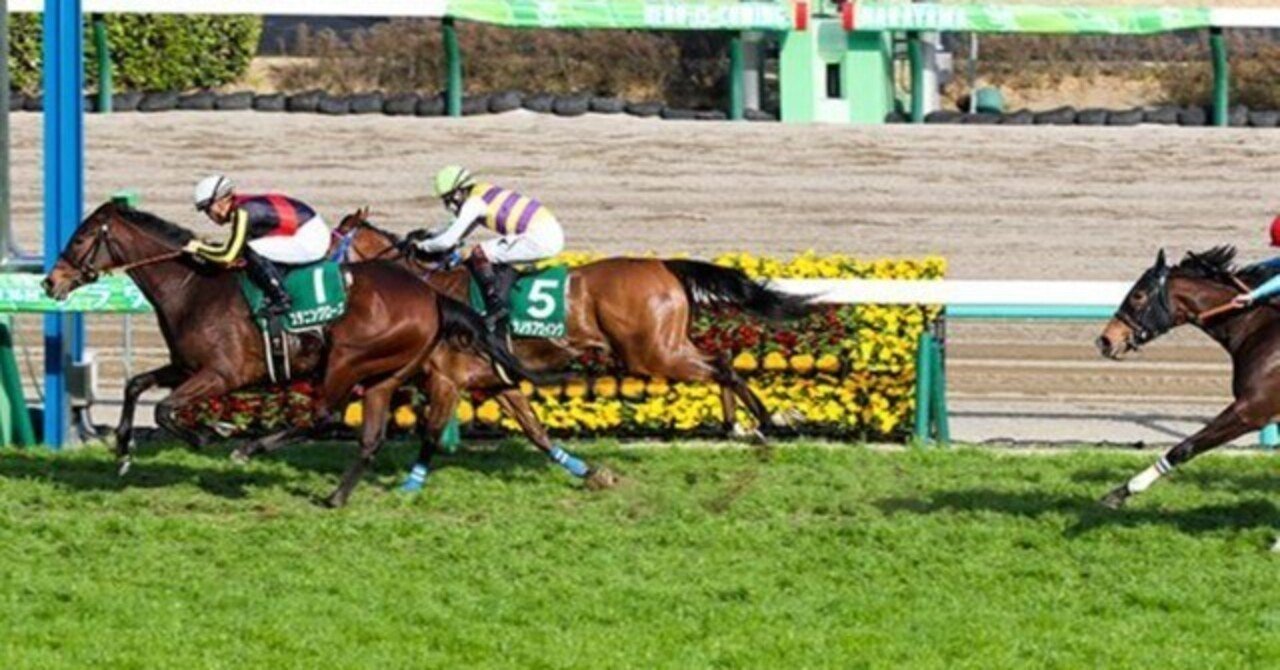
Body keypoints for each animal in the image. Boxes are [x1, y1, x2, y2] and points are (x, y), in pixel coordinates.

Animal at [42, 201, 533, 507]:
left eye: (81, 237)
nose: (50, 281)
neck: (193, 287)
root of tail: (431, 295)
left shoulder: (222, 373)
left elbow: (164, 410)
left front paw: (211, 433)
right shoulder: (185, 366)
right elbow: (134, 385)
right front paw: (123, 451)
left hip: (346, 359)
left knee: (325, 416)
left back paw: (251, 448)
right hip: (386, 373)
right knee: (368, 437)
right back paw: (335, 497)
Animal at [1095, 246, 1280, 509]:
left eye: (1138, 296)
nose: (1105, 340)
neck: (1258, 326)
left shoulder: (1252, 409)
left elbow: (1183, 448)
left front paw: (1122, 492)